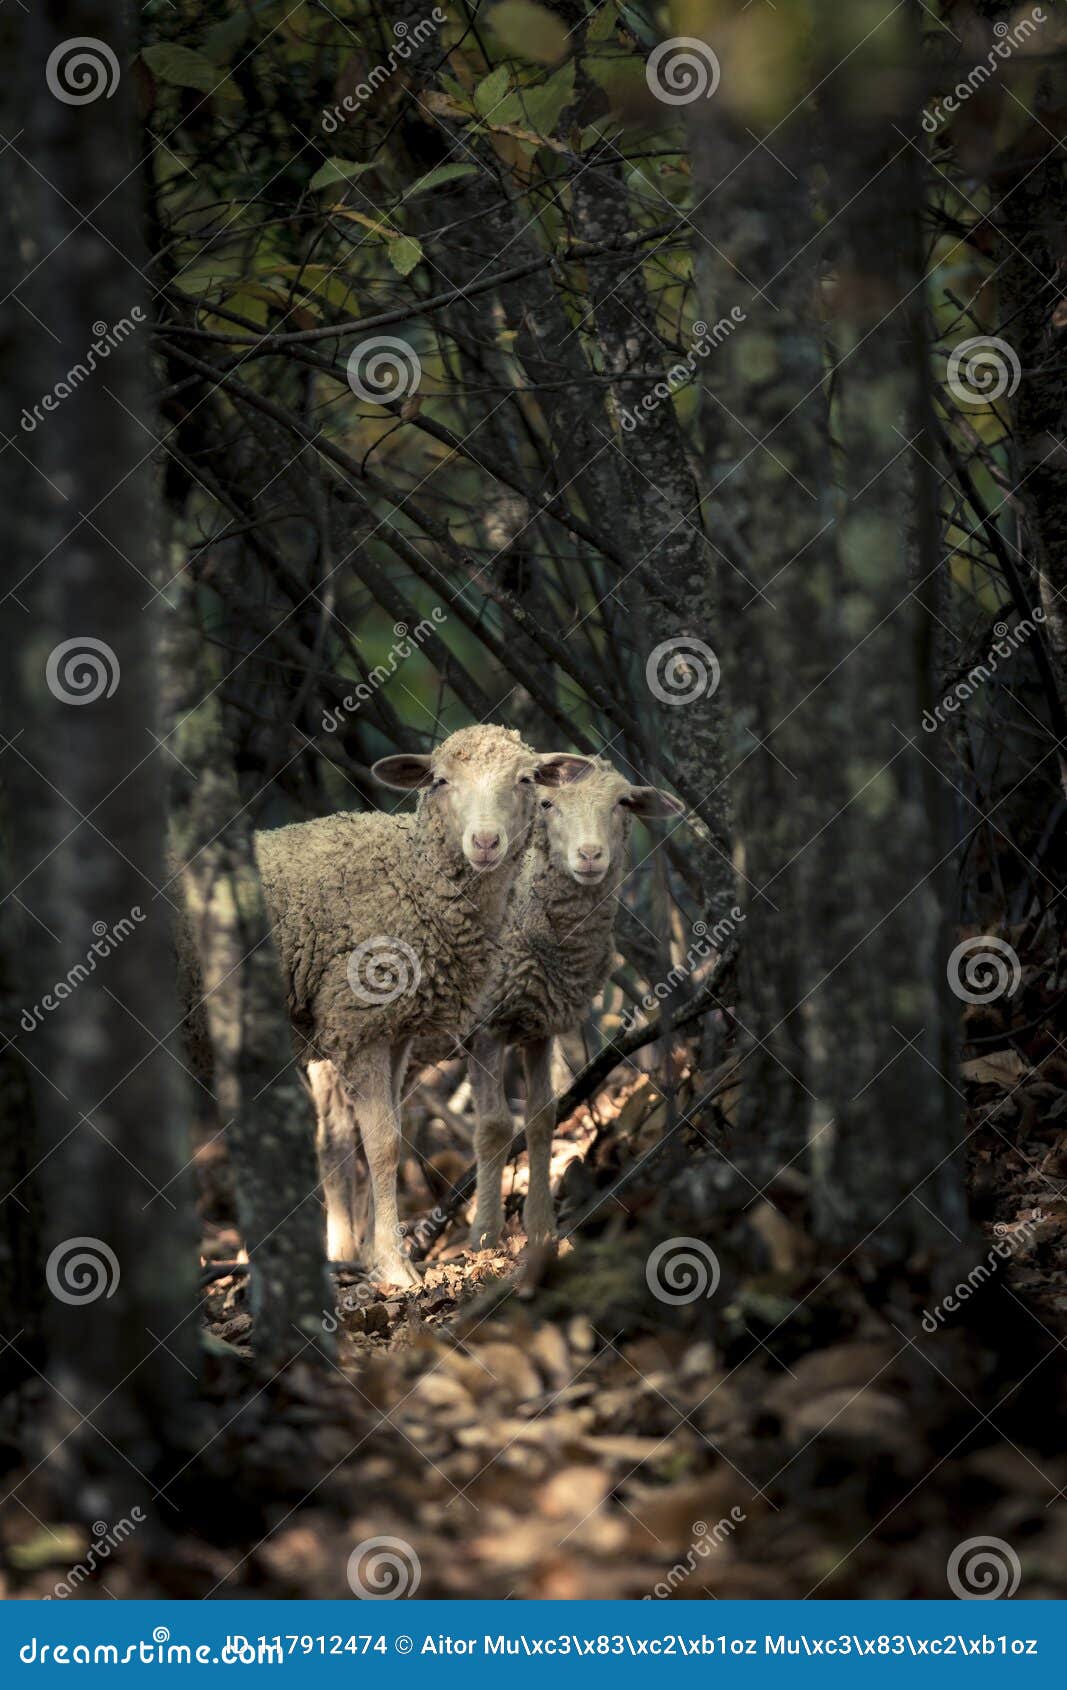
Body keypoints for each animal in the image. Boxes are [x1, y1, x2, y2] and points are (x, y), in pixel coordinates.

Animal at [252, 723, 591, 1287]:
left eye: (525, 779)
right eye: (440, 780)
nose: (485, 842)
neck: (412, 874)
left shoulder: (399, 1030)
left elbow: (390, 1136)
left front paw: (379, 1255)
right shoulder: (359, 1022)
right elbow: (385, 1142)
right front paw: (396, 1268)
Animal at [464, 760, 682, 1251]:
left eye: (622, 802)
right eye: (546, 804)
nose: (589, 855)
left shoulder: (539, 1023)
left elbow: (543, 1117)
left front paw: (541, 1227)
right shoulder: (485, 1025)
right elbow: (493, 1127)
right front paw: (484, 1235)